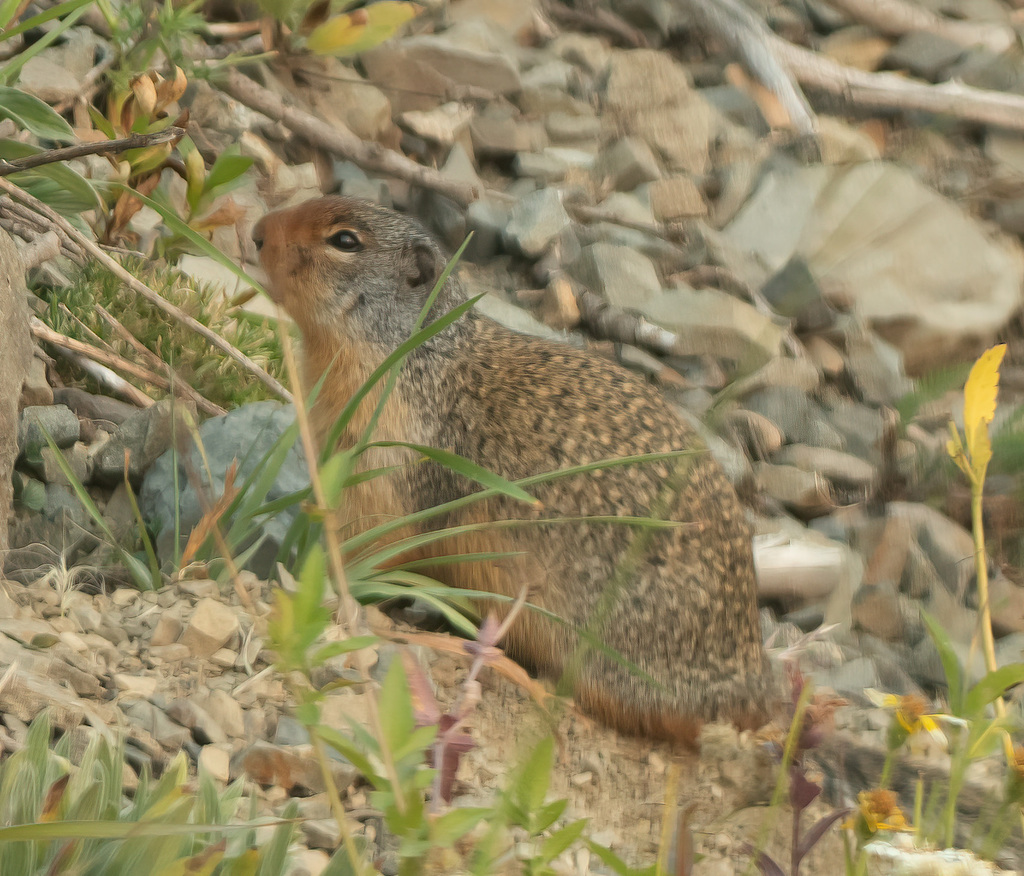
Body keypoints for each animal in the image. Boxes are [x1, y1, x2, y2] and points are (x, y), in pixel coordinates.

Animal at [251, 196, 774, 743]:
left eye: (345, 240)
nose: (257, 231)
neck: (417, 357)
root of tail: (753, 680)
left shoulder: (386, 465)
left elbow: (376, 542)